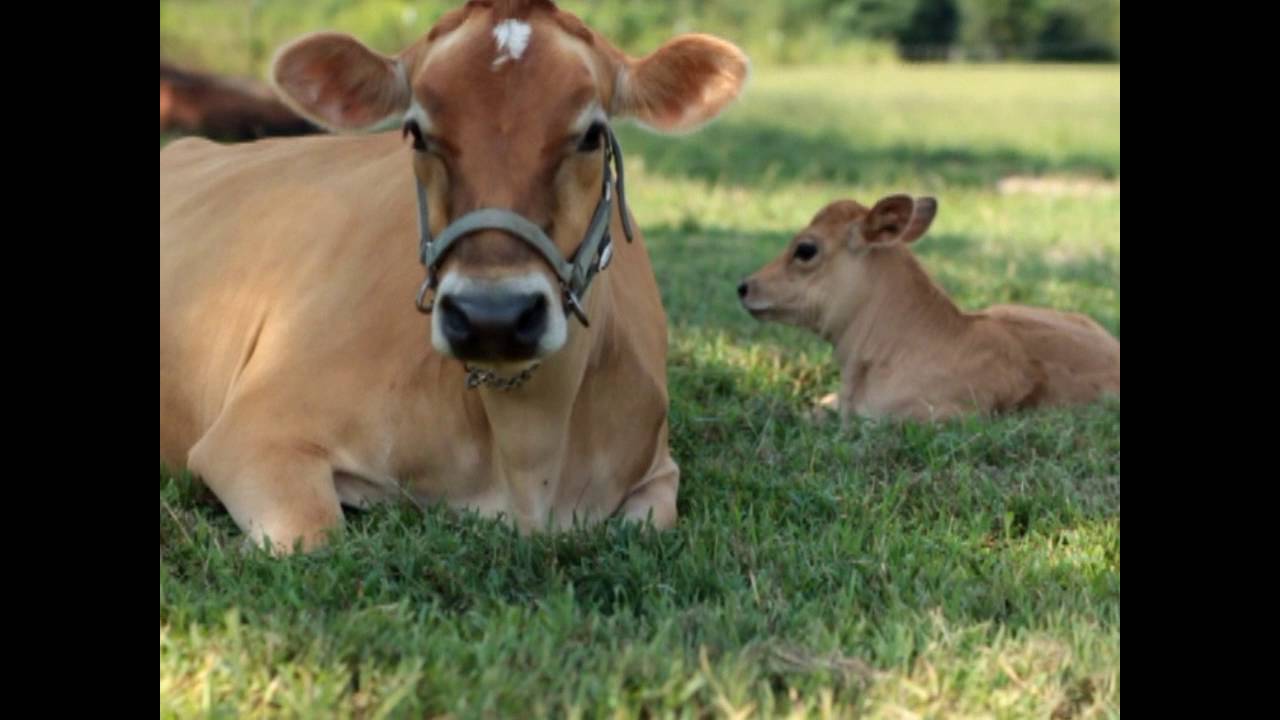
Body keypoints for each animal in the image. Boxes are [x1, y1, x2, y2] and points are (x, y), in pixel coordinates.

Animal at [160, 0, 749, 553]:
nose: (494, 316)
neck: (529, 455)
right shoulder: (253, 434)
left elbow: (650, 523)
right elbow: (311, 532)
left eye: (591, 134)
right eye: (417, 133)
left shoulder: (658, 469)